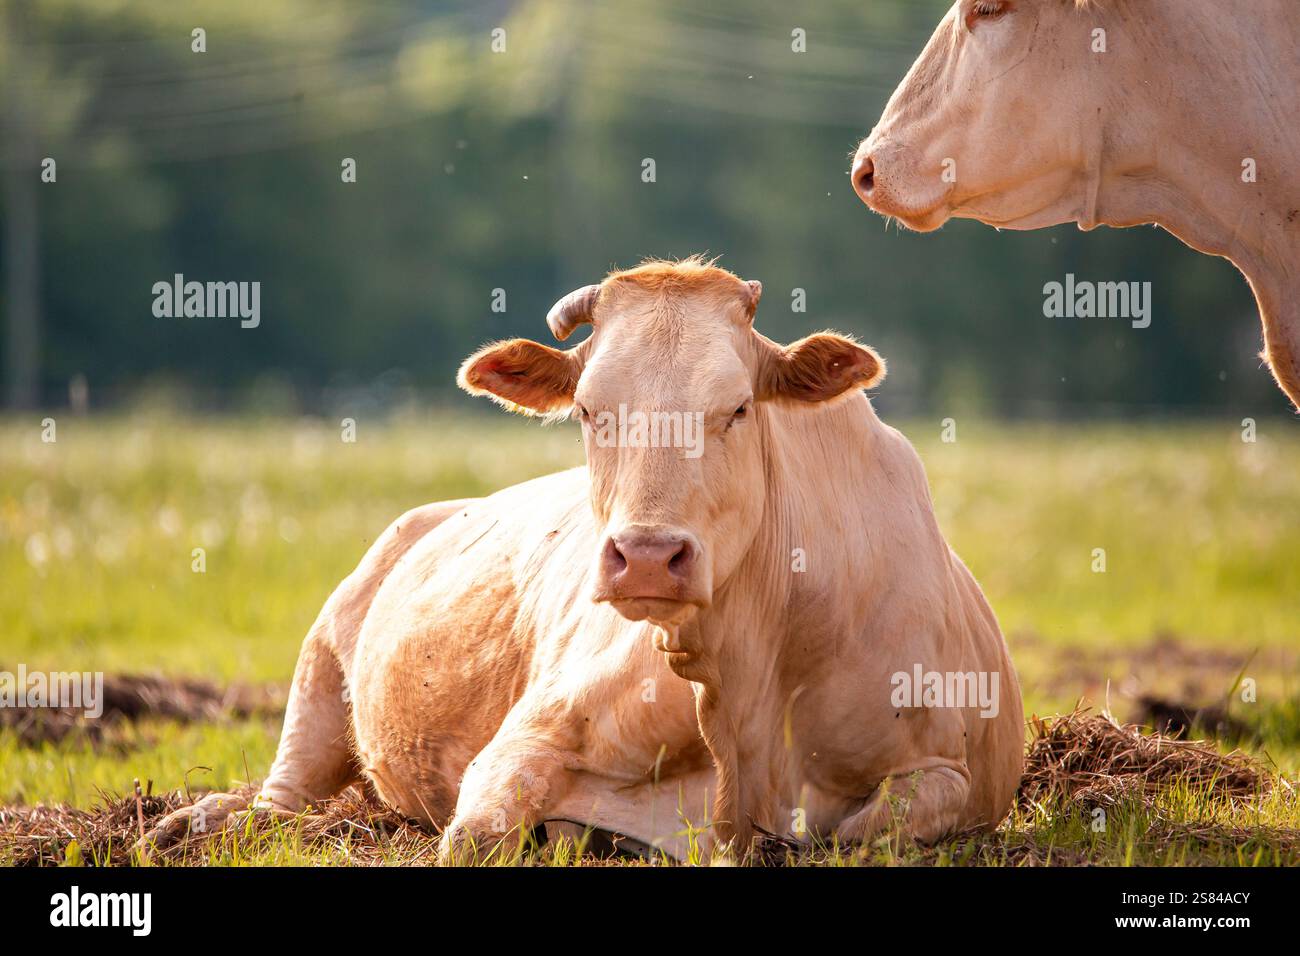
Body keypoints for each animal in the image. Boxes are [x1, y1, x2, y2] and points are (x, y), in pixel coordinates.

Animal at [144, 258, 1023, 859]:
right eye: (591, 411)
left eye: (738, 408)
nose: (648, 557)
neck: (746, 681)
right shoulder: (529, 735)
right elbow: (475, 833)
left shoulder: (950, 769)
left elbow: (867, 825)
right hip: (321, 665)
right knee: (282, 798)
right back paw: (189, 820)